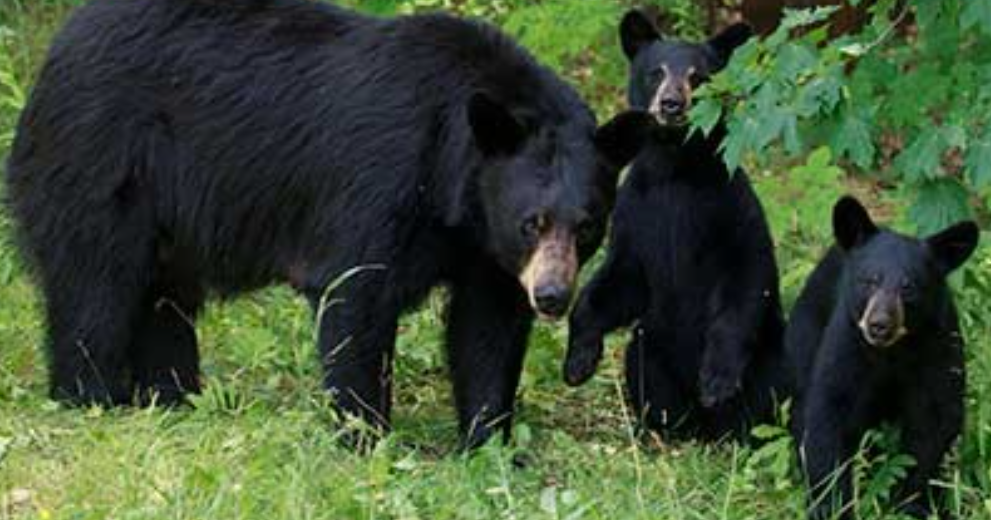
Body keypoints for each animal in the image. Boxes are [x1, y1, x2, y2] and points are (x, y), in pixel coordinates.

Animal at [5, 0, 653, 450]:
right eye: (531, 222)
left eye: (587, 225)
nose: (552, 295)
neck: (453, 183)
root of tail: (56, 51)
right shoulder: (379, 182)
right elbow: (355, 297)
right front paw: (365, 434)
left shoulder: (481, 247)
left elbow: (487, 329)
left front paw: (490, 441)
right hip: (99, 163)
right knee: (96, 286)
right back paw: (91, 396)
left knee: (163, 303)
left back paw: (174, 395)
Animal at [563, 9, 786, 441]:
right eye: (656, 71)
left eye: (698, 76)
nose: (670, 104)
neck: (674, 169)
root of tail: (706, 429)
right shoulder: (635, 212)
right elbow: (620, 279)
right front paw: (578, 360)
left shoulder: (730, 208)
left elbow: (748, 275)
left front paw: (717, 379)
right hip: (653, 346)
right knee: (643, 364)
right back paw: (662, 429)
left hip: (770, 357)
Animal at [788, 196, 979, 519]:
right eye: (870, 280)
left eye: (908, 286)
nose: (879, 324)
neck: (892, 352)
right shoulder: (847, 345)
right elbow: (828, 414)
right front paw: (832, 505)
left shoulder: (938, 346)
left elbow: (935, 421)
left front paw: (912, 504)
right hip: (805, 335)